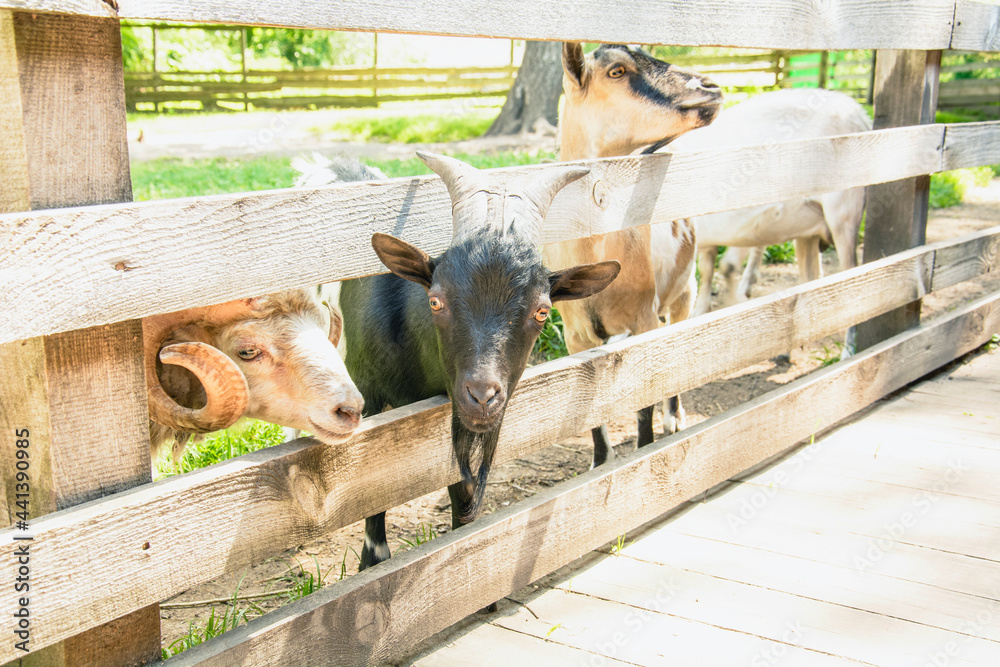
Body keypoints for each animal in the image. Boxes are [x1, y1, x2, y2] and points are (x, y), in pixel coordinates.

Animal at [338, 152, 620, 569]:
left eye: (542, 311)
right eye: (435, 300)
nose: (482, 396)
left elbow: (463, 492)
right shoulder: (370, 397)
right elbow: (370, 488)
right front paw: (373, 561)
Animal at [545, 42, 723, 466]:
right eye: (617, 71)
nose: (710, 87)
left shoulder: (644, 319)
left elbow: (643, 400)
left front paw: (646, 452)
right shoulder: (576, 336)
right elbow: (592, 408)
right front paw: (600, 462)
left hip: (684, 292)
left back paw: (674, 418)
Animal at [665, 88, 870, 318]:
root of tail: (858, 111)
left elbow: (725, 267)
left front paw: (736, 302)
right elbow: (708, 270)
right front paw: (701, 311)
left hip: (844, 214)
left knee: (849, 269)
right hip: (808, 229)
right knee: (812, 278)